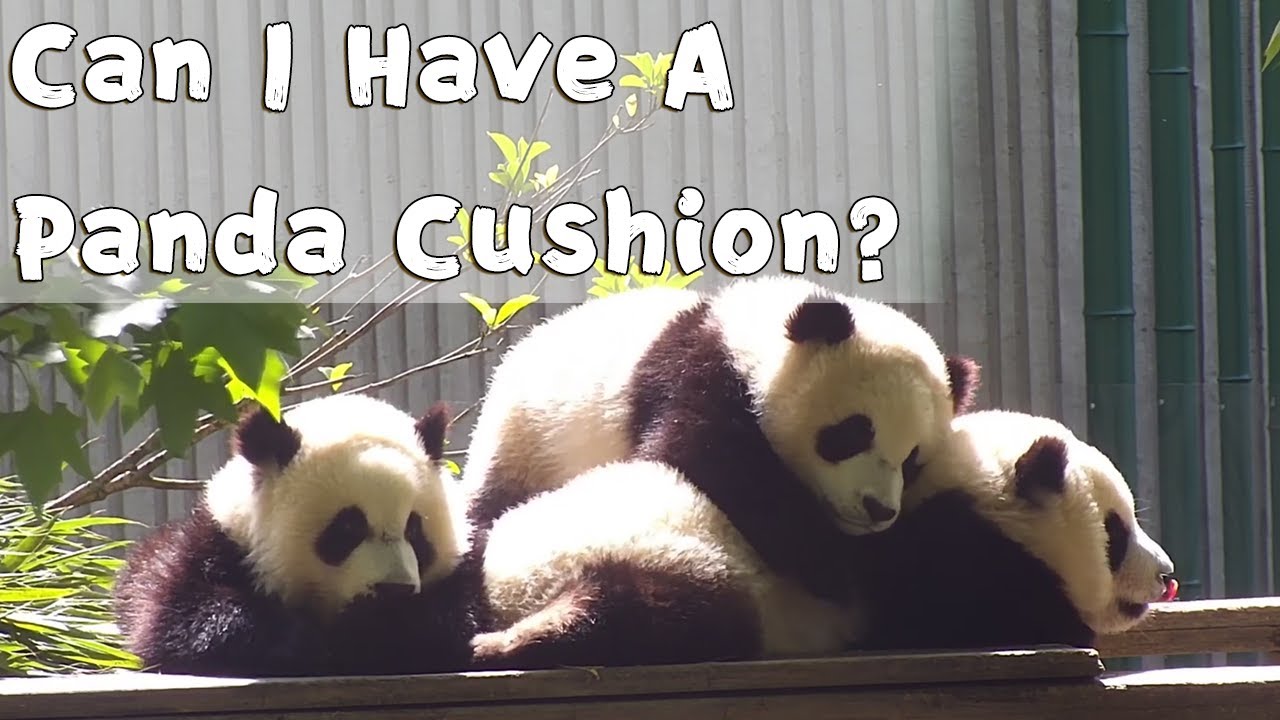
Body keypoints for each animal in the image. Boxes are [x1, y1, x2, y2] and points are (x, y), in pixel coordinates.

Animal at [113, 393, 478, 678]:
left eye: (414, 529)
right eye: (348, 528)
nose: (394, 590)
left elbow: (455, 617)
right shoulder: (215, 545)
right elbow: (175, 618)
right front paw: (303, 641)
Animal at [461, 276, 980, 605]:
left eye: (912, 460)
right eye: (852, 434)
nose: (879, 510)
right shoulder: (697, 373)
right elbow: (714, 463)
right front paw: (832, 567)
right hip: (526, 442)